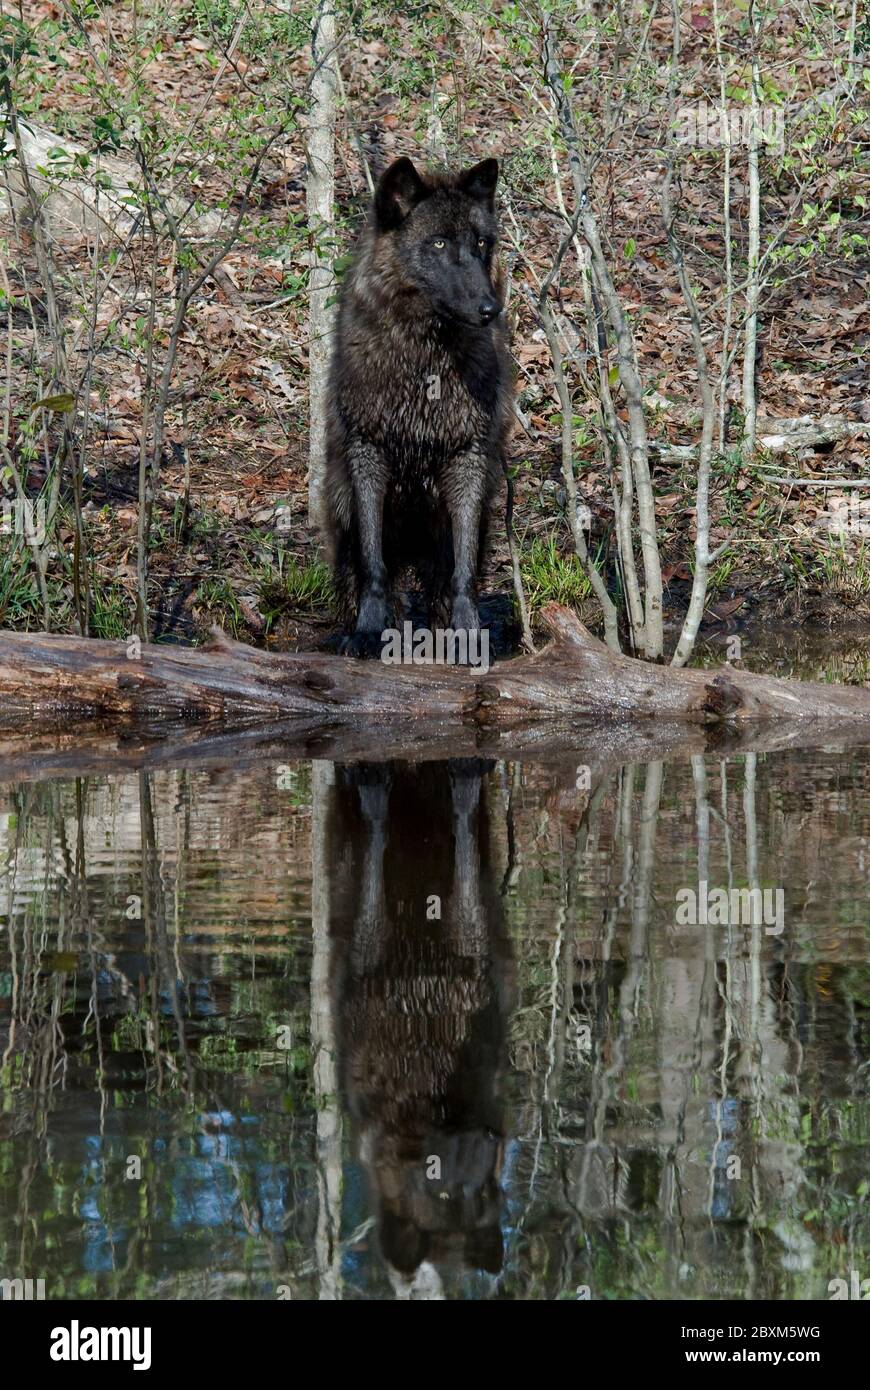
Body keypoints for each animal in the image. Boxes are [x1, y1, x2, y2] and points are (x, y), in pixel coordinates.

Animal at [324, 155, 513, 655]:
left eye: (481, 243)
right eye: (440, 242)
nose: (490, 309)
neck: (425, 361)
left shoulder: (467, 458)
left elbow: (462, 573)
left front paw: (466, 635)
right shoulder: (368, 451)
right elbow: (373, 565)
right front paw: (369, 630)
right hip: (343, 504)